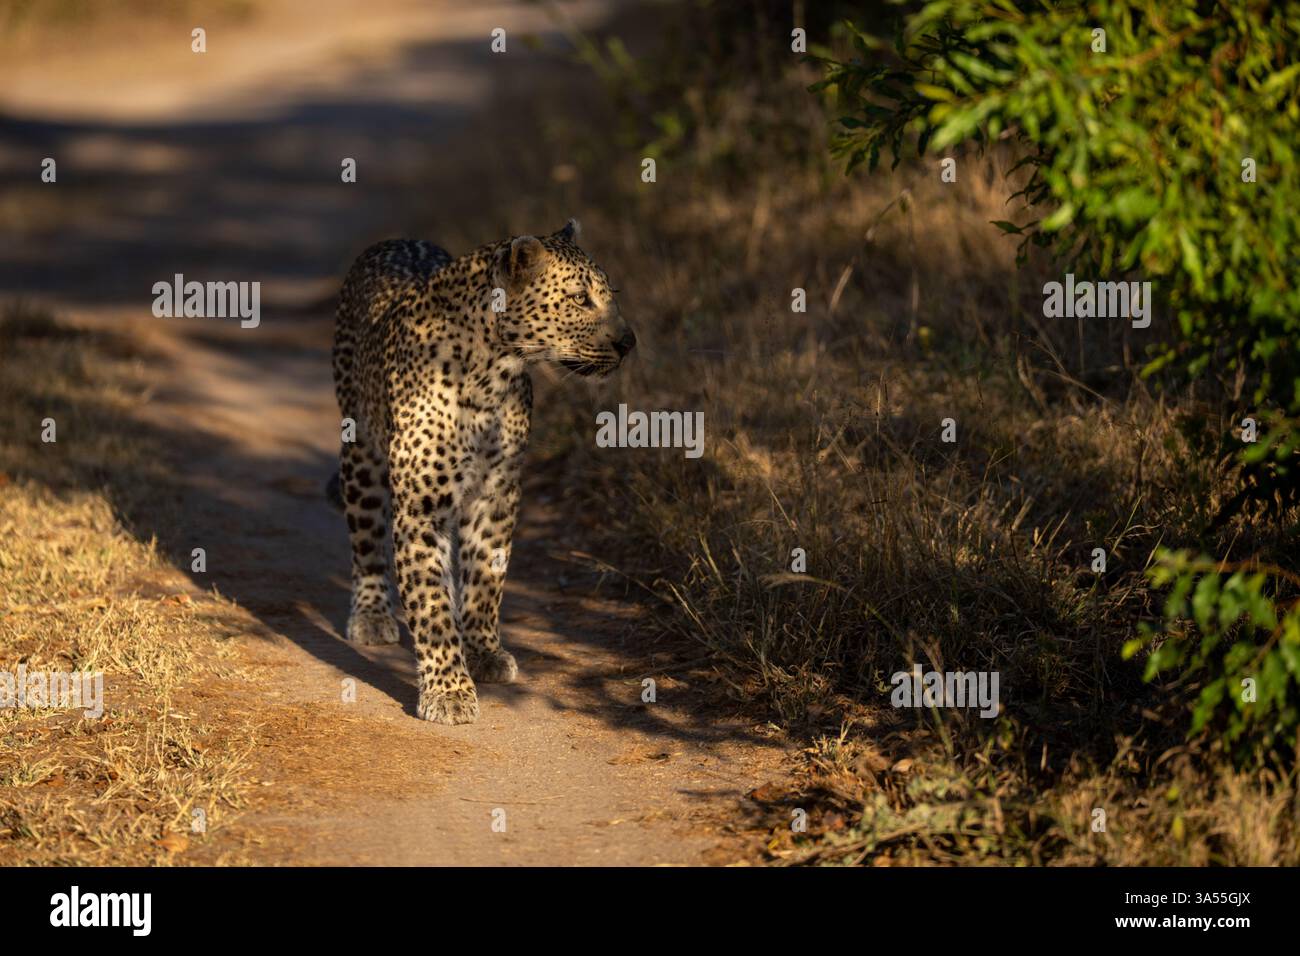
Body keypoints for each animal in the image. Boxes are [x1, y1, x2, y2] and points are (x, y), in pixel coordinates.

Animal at [329, 219, 635, 725]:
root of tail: (395, 240)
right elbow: (430, 602)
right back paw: (372, 613)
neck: (492, 373)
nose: (629, 343)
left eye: (609, 294)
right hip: (361, 450)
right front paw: (448, 691)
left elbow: (486, 579)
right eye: (578, 299)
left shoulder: (497, 493)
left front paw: (482, 652)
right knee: (365, 539)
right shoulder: (421, 506)